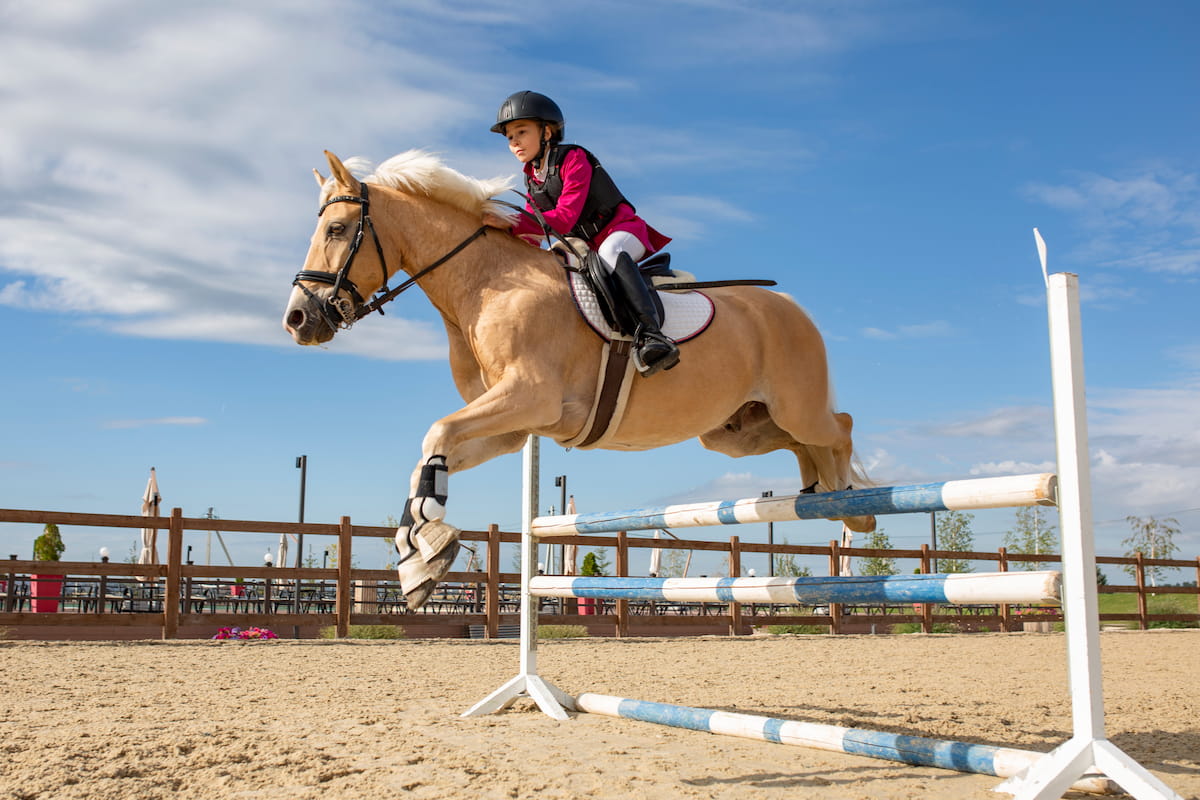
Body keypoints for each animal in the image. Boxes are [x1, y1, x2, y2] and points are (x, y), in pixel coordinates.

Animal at [283, 150, 875, 609]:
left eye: (337, 229)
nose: (298, 320)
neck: (487, 283)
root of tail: (792, 307)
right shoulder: (513, 427)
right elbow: (431, 452)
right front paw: (420, 557)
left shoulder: (528, 398)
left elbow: (436, 433)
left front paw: (426, 546)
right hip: (735, 431)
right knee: (802, 445)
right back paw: (824, 489)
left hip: (795, 406)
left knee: (839, 426)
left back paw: (855, 508)